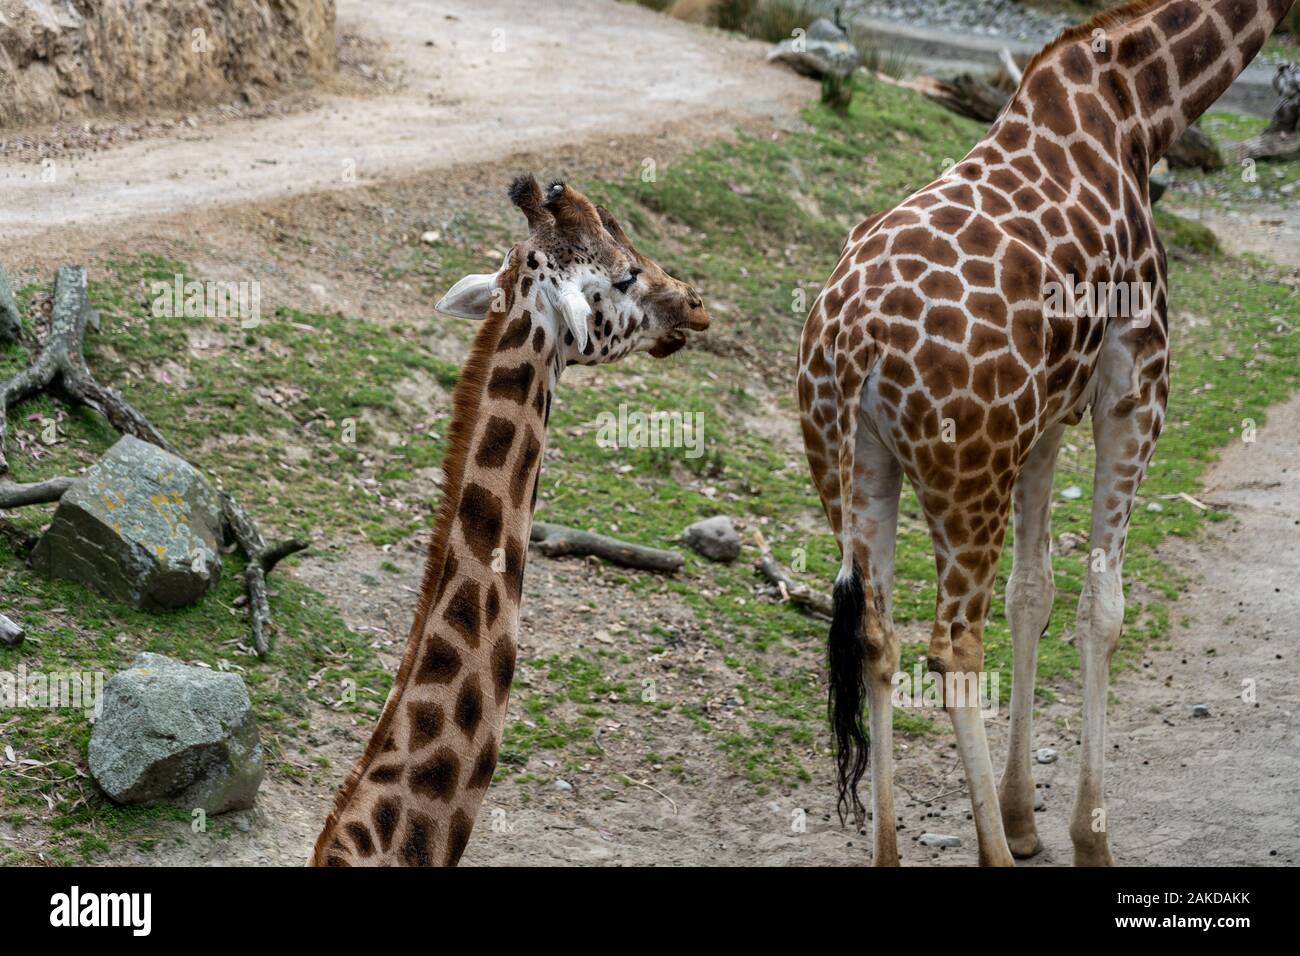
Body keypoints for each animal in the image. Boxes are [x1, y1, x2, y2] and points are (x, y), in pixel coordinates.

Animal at [798, 0, 1294, 866]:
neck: (1141, 107)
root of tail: (852, 343)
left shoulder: (1046, 420)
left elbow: (1034, 593)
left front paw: (1025, 815)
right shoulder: (1134, 382)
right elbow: (1103, 605)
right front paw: (1087, 834)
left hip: (854, 469)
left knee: (877, 637)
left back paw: (894, 849)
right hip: (966, 475)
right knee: (952, 646)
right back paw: (990, 854)